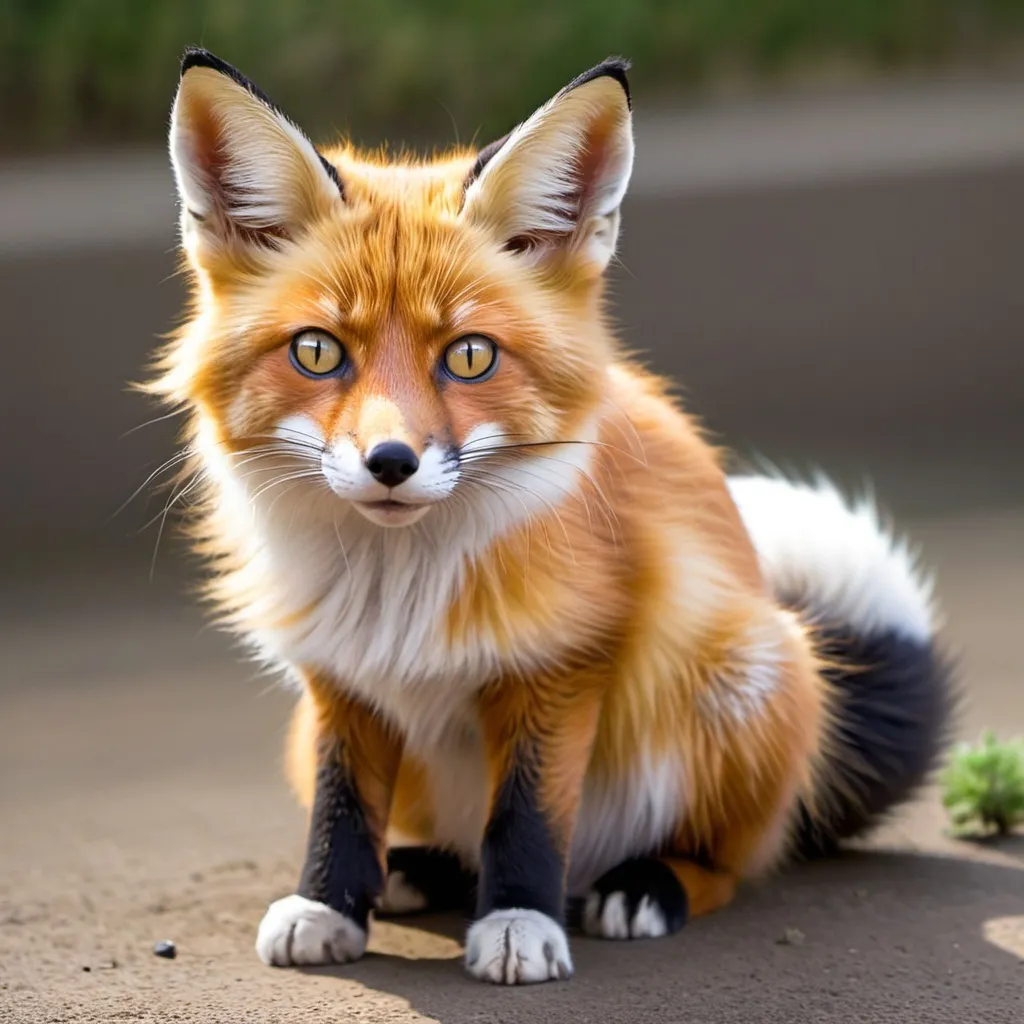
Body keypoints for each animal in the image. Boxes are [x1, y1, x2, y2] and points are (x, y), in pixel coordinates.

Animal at [152, 47, 953, 985]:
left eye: (469, 356)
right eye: (318, 351)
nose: (391, 463)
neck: (398, 599)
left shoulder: (565, 665)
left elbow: (526, 818)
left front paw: (519, 922)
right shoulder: (339, 683)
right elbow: (341, 809)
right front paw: (330, 903)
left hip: (744, 674)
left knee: (732, 864)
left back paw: (645, 885)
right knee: (455, 844)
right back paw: (418, 870)